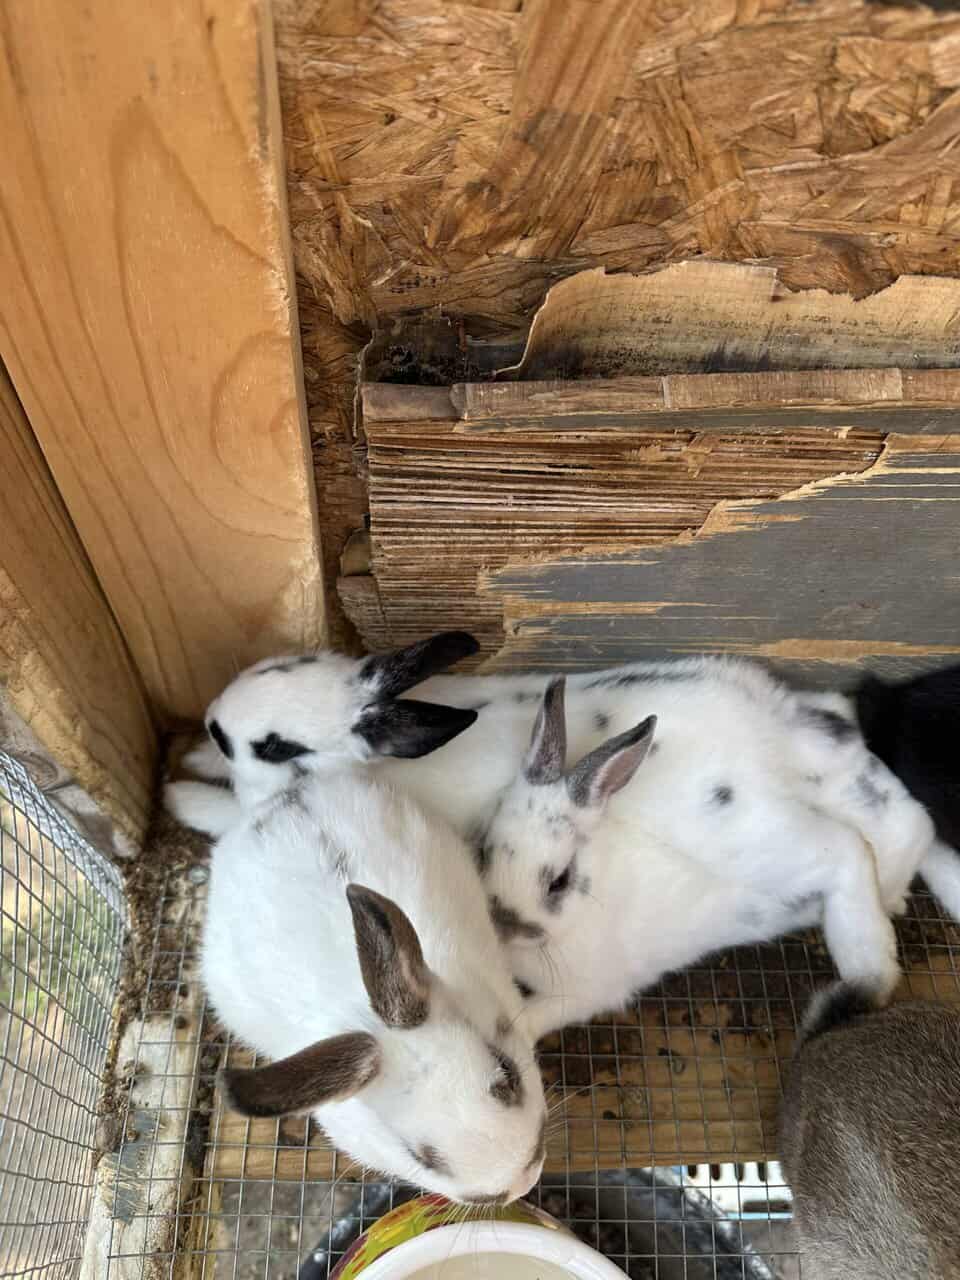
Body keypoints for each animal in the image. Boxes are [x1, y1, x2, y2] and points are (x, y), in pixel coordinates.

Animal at [476, 678, 943, 1037]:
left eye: (559, 880)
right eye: (484, 847)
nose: (501, 923)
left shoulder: (589, 991)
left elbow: (530, 1016)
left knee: (874, 839)